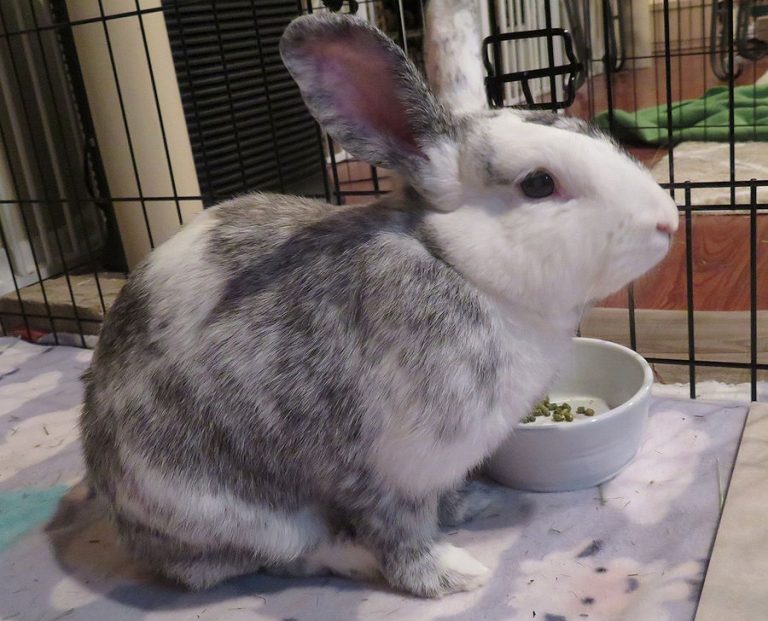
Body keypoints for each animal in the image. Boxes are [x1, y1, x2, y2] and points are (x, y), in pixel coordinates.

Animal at [79, 11, 679, 599]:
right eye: (538, 183)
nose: (668, 221)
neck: (458, 266)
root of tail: (121, 520)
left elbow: (444, 497)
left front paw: (471, 504)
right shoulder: (391, 468)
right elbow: (400, 534)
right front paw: (449, 575)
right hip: (238, 516)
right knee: (283, 557)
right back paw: (353, 557)